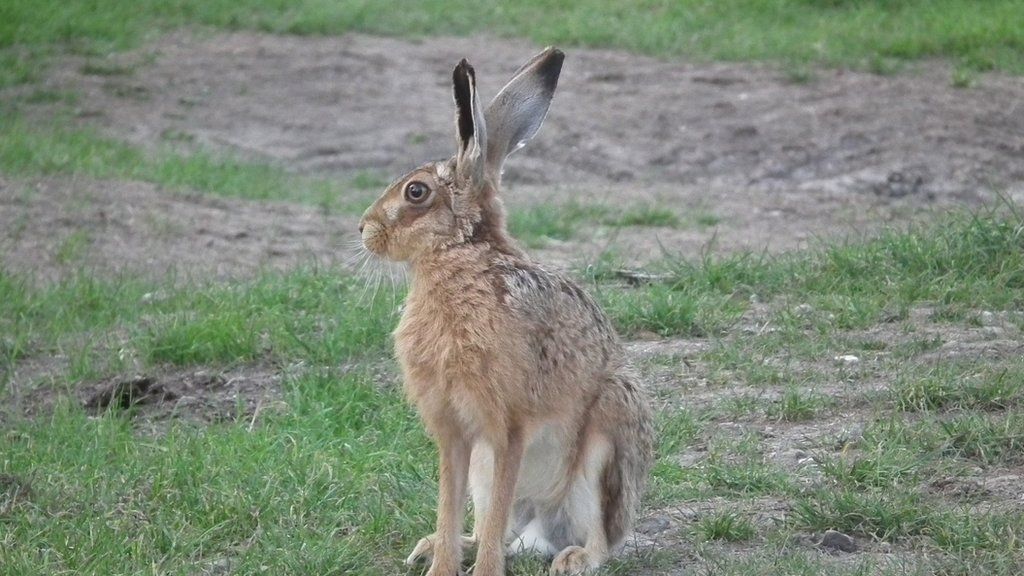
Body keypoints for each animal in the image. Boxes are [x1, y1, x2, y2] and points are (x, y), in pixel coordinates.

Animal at [358, 47, 653, 576]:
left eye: (416, 192)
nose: (363, 230)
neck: (461, 257)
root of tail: (545, 526)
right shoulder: (454, 432)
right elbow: (449, 504)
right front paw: (442, 566)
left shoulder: (509, 425)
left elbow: (495, 506)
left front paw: (484, 572)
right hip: (484, 465)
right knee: (496, 525)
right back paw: (434, 547)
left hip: (605, 440)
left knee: (599, 538)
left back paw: (574, 558)